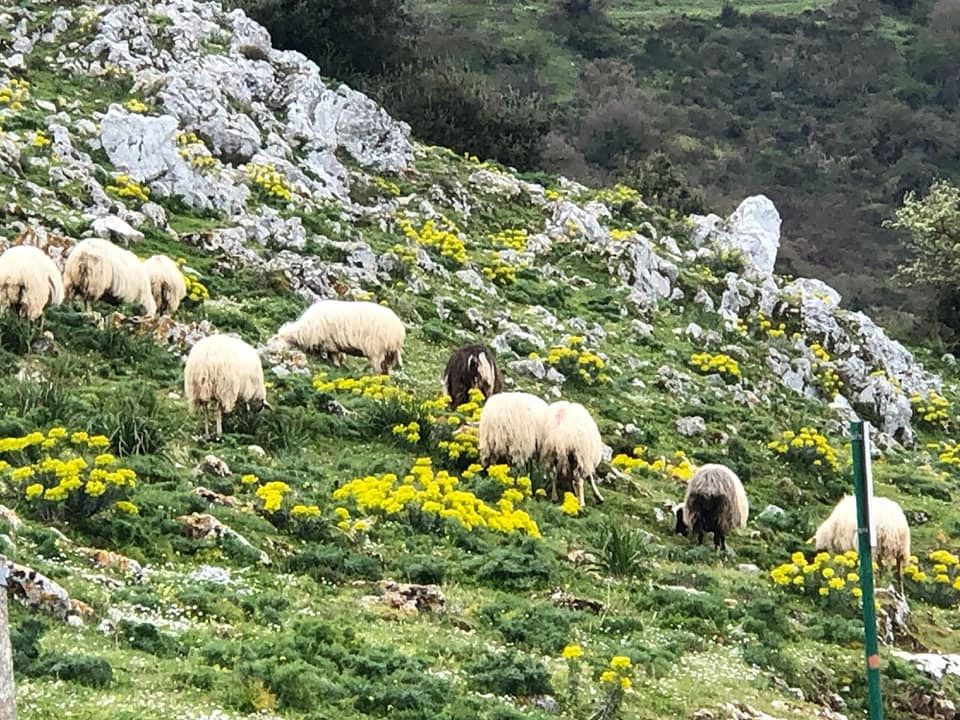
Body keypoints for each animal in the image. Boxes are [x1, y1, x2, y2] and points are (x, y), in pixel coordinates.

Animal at [275, 300, 405, 375]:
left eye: (275, 339)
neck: (304, 330)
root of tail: (399, 330)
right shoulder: (334, 343)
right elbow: (339, 355)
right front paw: (341, 363)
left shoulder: (329, 343)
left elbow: (334, 355)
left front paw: (336, 365)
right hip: (389, 353)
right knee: (385, 368)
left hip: (377, 349)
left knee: (377, 368)